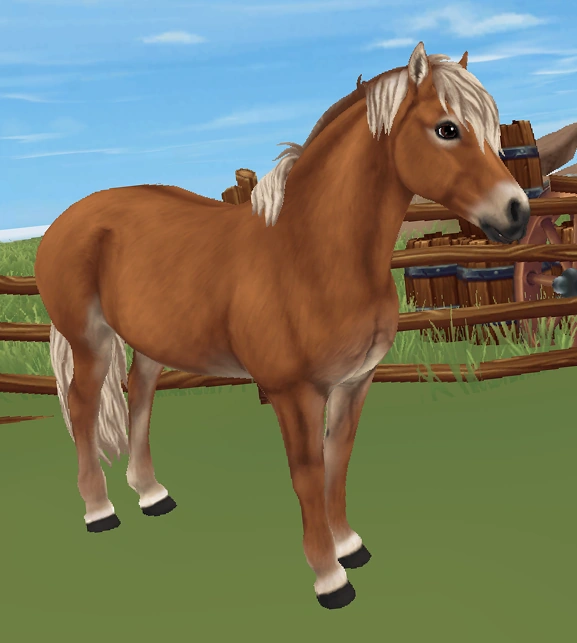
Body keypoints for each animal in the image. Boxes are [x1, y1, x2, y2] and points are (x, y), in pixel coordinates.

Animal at [34, 42, 530, 610]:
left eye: (493, 131)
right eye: (447, 129)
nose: (517, 212)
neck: (310, 254)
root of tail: (69, 217)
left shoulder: (355, 383)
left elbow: (338, 459)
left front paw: (349, 544)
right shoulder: (295, 393)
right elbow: (308, 473)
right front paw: (330, 577)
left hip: (151, 341)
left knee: (139, 397)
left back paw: (152, 494)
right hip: (89, 340)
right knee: (83, 405)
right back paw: (100, 511)